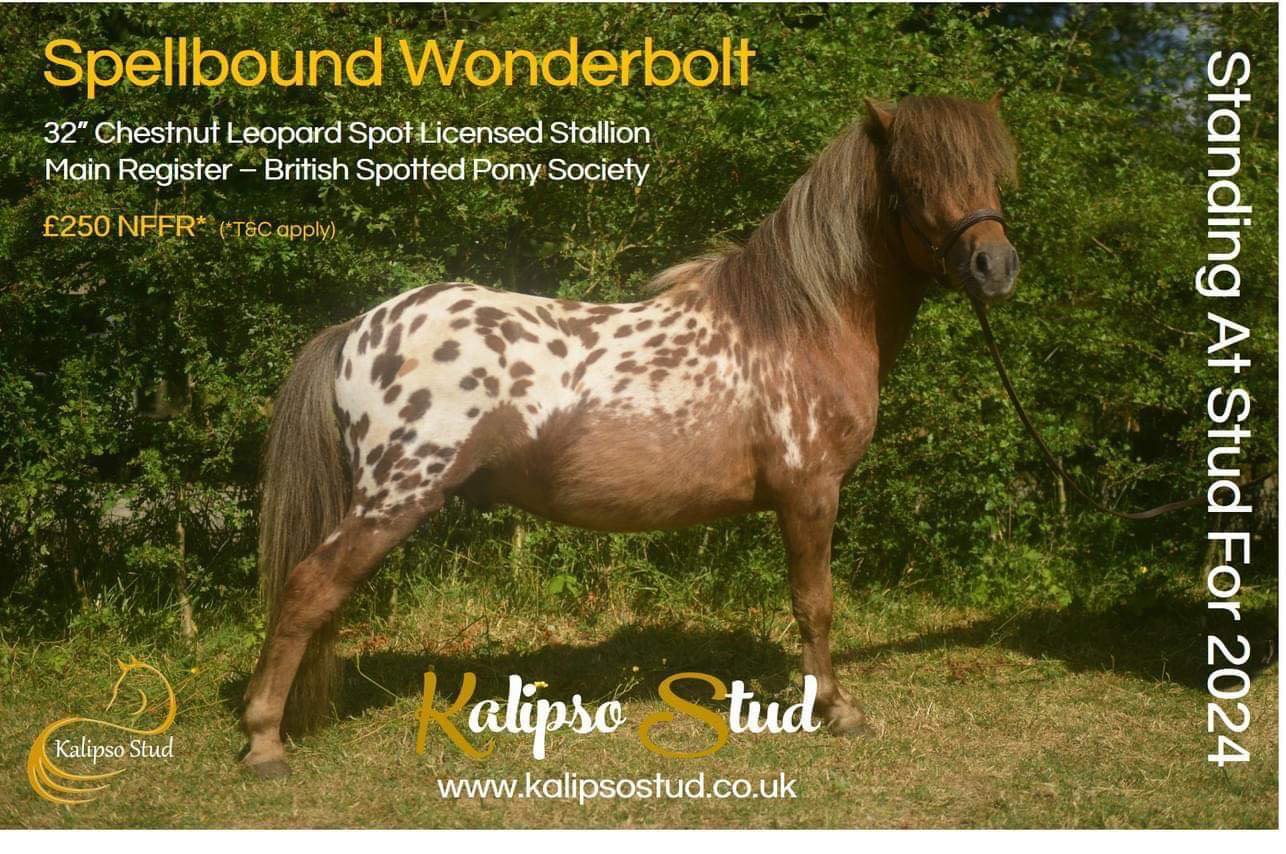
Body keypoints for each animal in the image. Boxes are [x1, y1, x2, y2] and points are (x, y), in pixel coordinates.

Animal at [240, 93, 1020, 778]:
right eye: (913, 179)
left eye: (991, 172)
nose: (996, 266)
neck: (800, 324)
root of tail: (357, 328)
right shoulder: (810, 494)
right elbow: (815, 605)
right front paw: (836, 709)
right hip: (393, 500)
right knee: (307, 591)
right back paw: (264, 743)